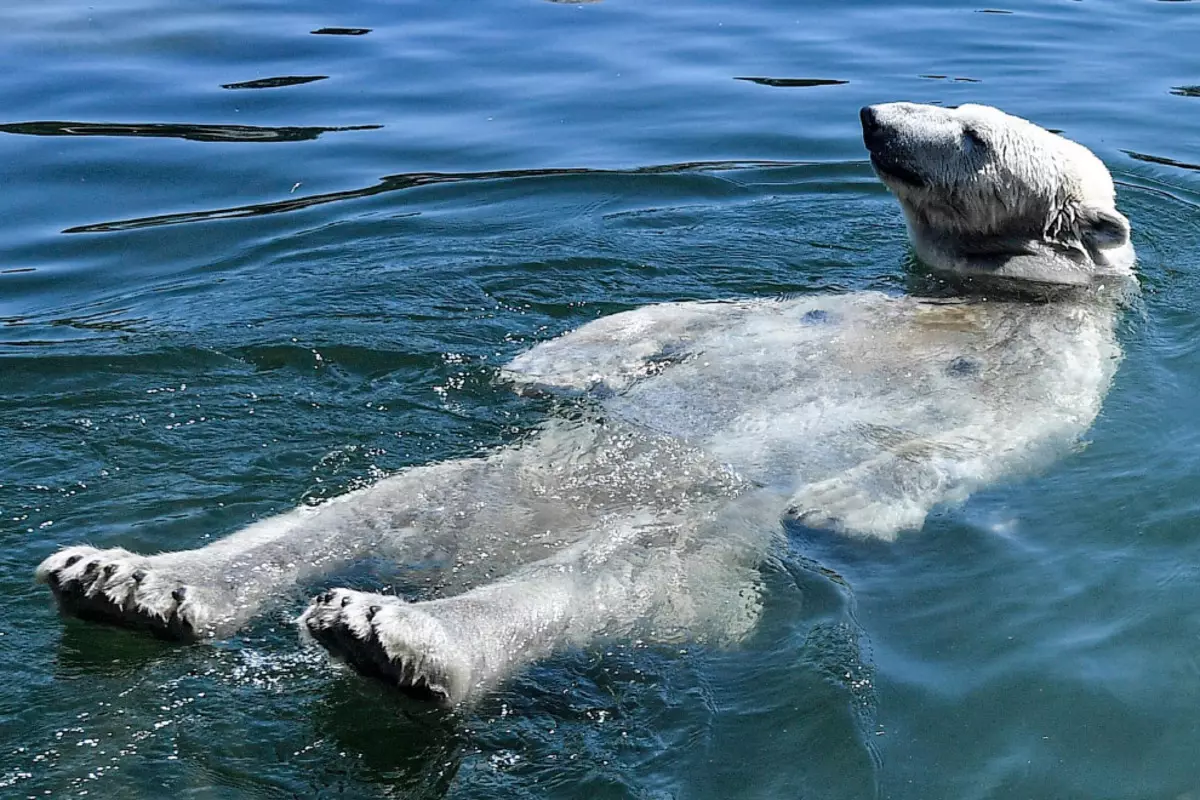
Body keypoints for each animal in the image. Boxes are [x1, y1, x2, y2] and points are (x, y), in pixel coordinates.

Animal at [35, 104, 1132, 705]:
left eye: (973, 132)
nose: (871, 118)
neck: (994, 294)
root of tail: (476, 551)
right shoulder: (832, 299)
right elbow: (689, 315)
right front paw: (544, 359)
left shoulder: (1064, 361)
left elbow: (1002, 441)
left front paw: (846, 505)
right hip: (497, 482)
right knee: (368, 504)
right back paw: (132, 581)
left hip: (699, 545)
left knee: (603, 574)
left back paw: (396, 638)